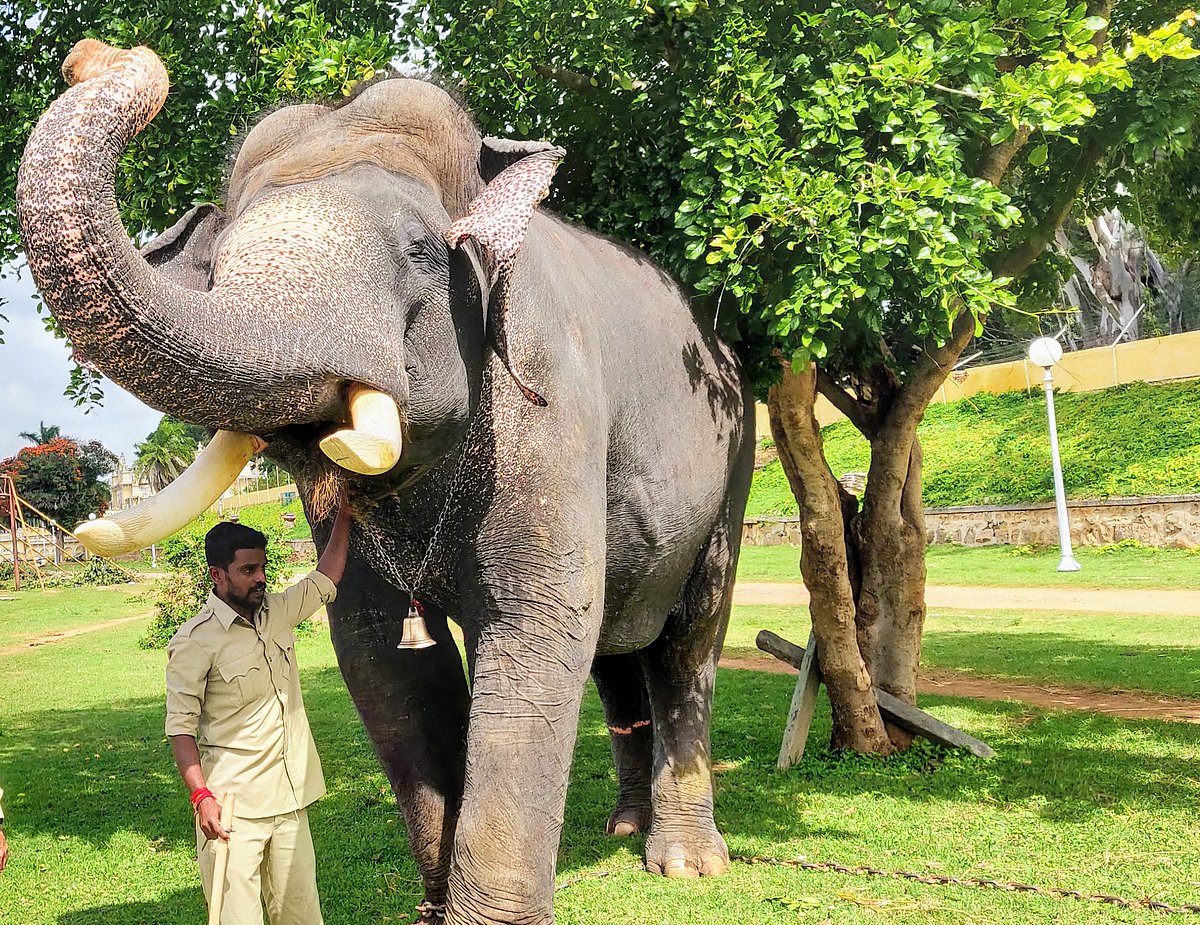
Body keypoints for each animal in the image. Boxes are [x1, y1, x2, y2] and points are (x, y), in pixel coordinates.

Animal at [18, 40, 755, 925]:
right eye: (219, 267)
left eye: (420, 251)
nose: (97, 54)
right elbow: (380, 650)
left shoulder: (551, 402)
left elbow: (539, 624)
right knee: (616, 649)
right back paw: (620, 828)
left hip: (733, 454)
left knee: (686, 640)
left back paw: (683, 863)